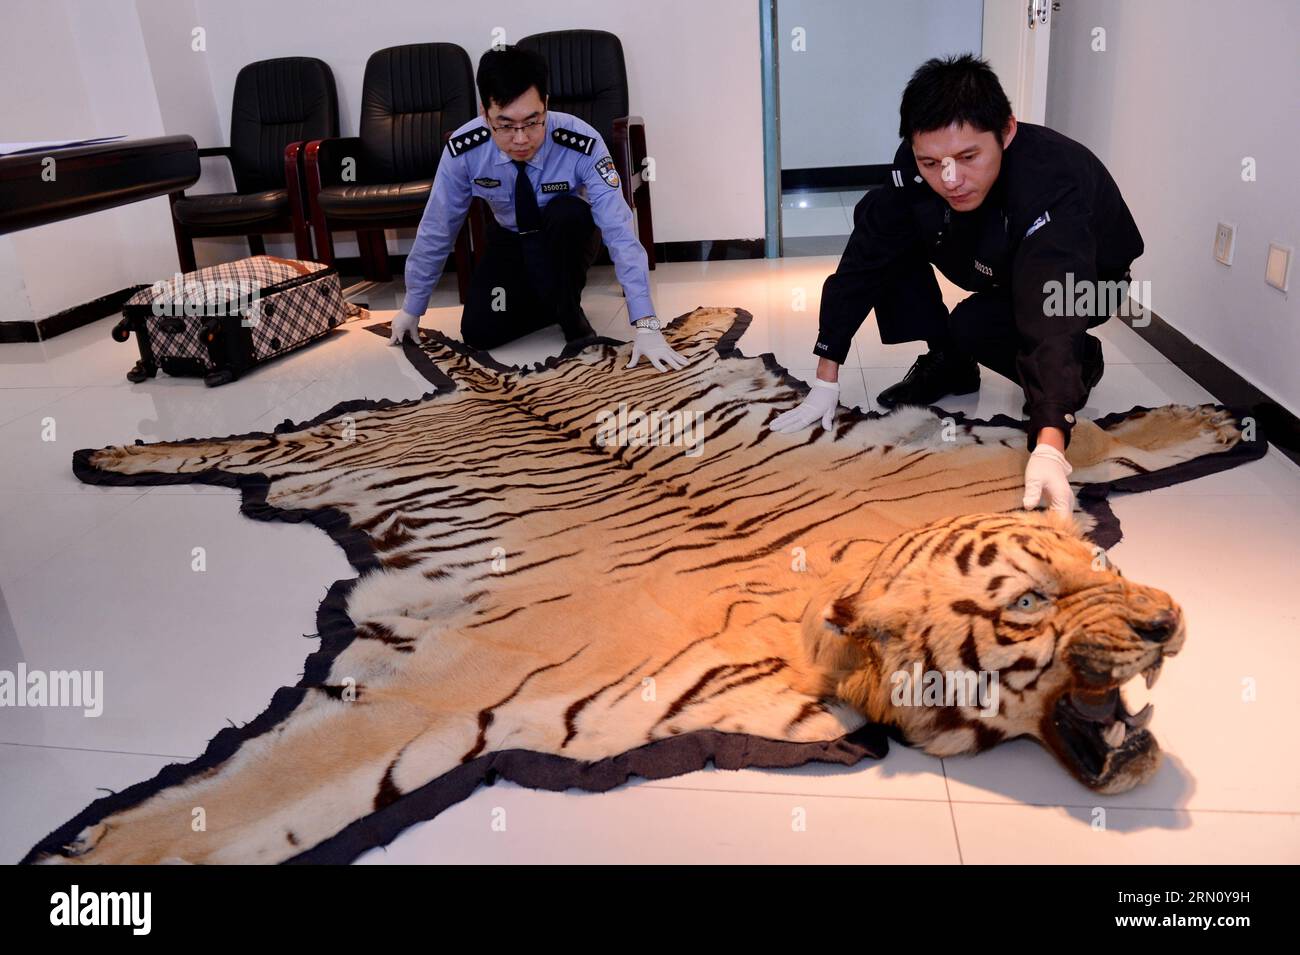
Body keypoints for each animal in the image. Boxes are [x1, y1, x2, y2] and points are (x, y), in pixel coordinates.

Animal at [25, 307, 1254, 864]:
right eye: (1030, 607)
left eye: (1103, 565)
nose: (1166, 619)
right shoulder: (442, 689)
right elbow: (259, 796)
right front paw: (99, 854)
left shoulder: (933, 469)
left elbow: (1079, 444)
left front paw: (1211, 421)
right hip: (326, 450)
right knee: (254, 440)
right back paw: (107, 454)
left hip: (604, 362)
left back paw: (708, 315)